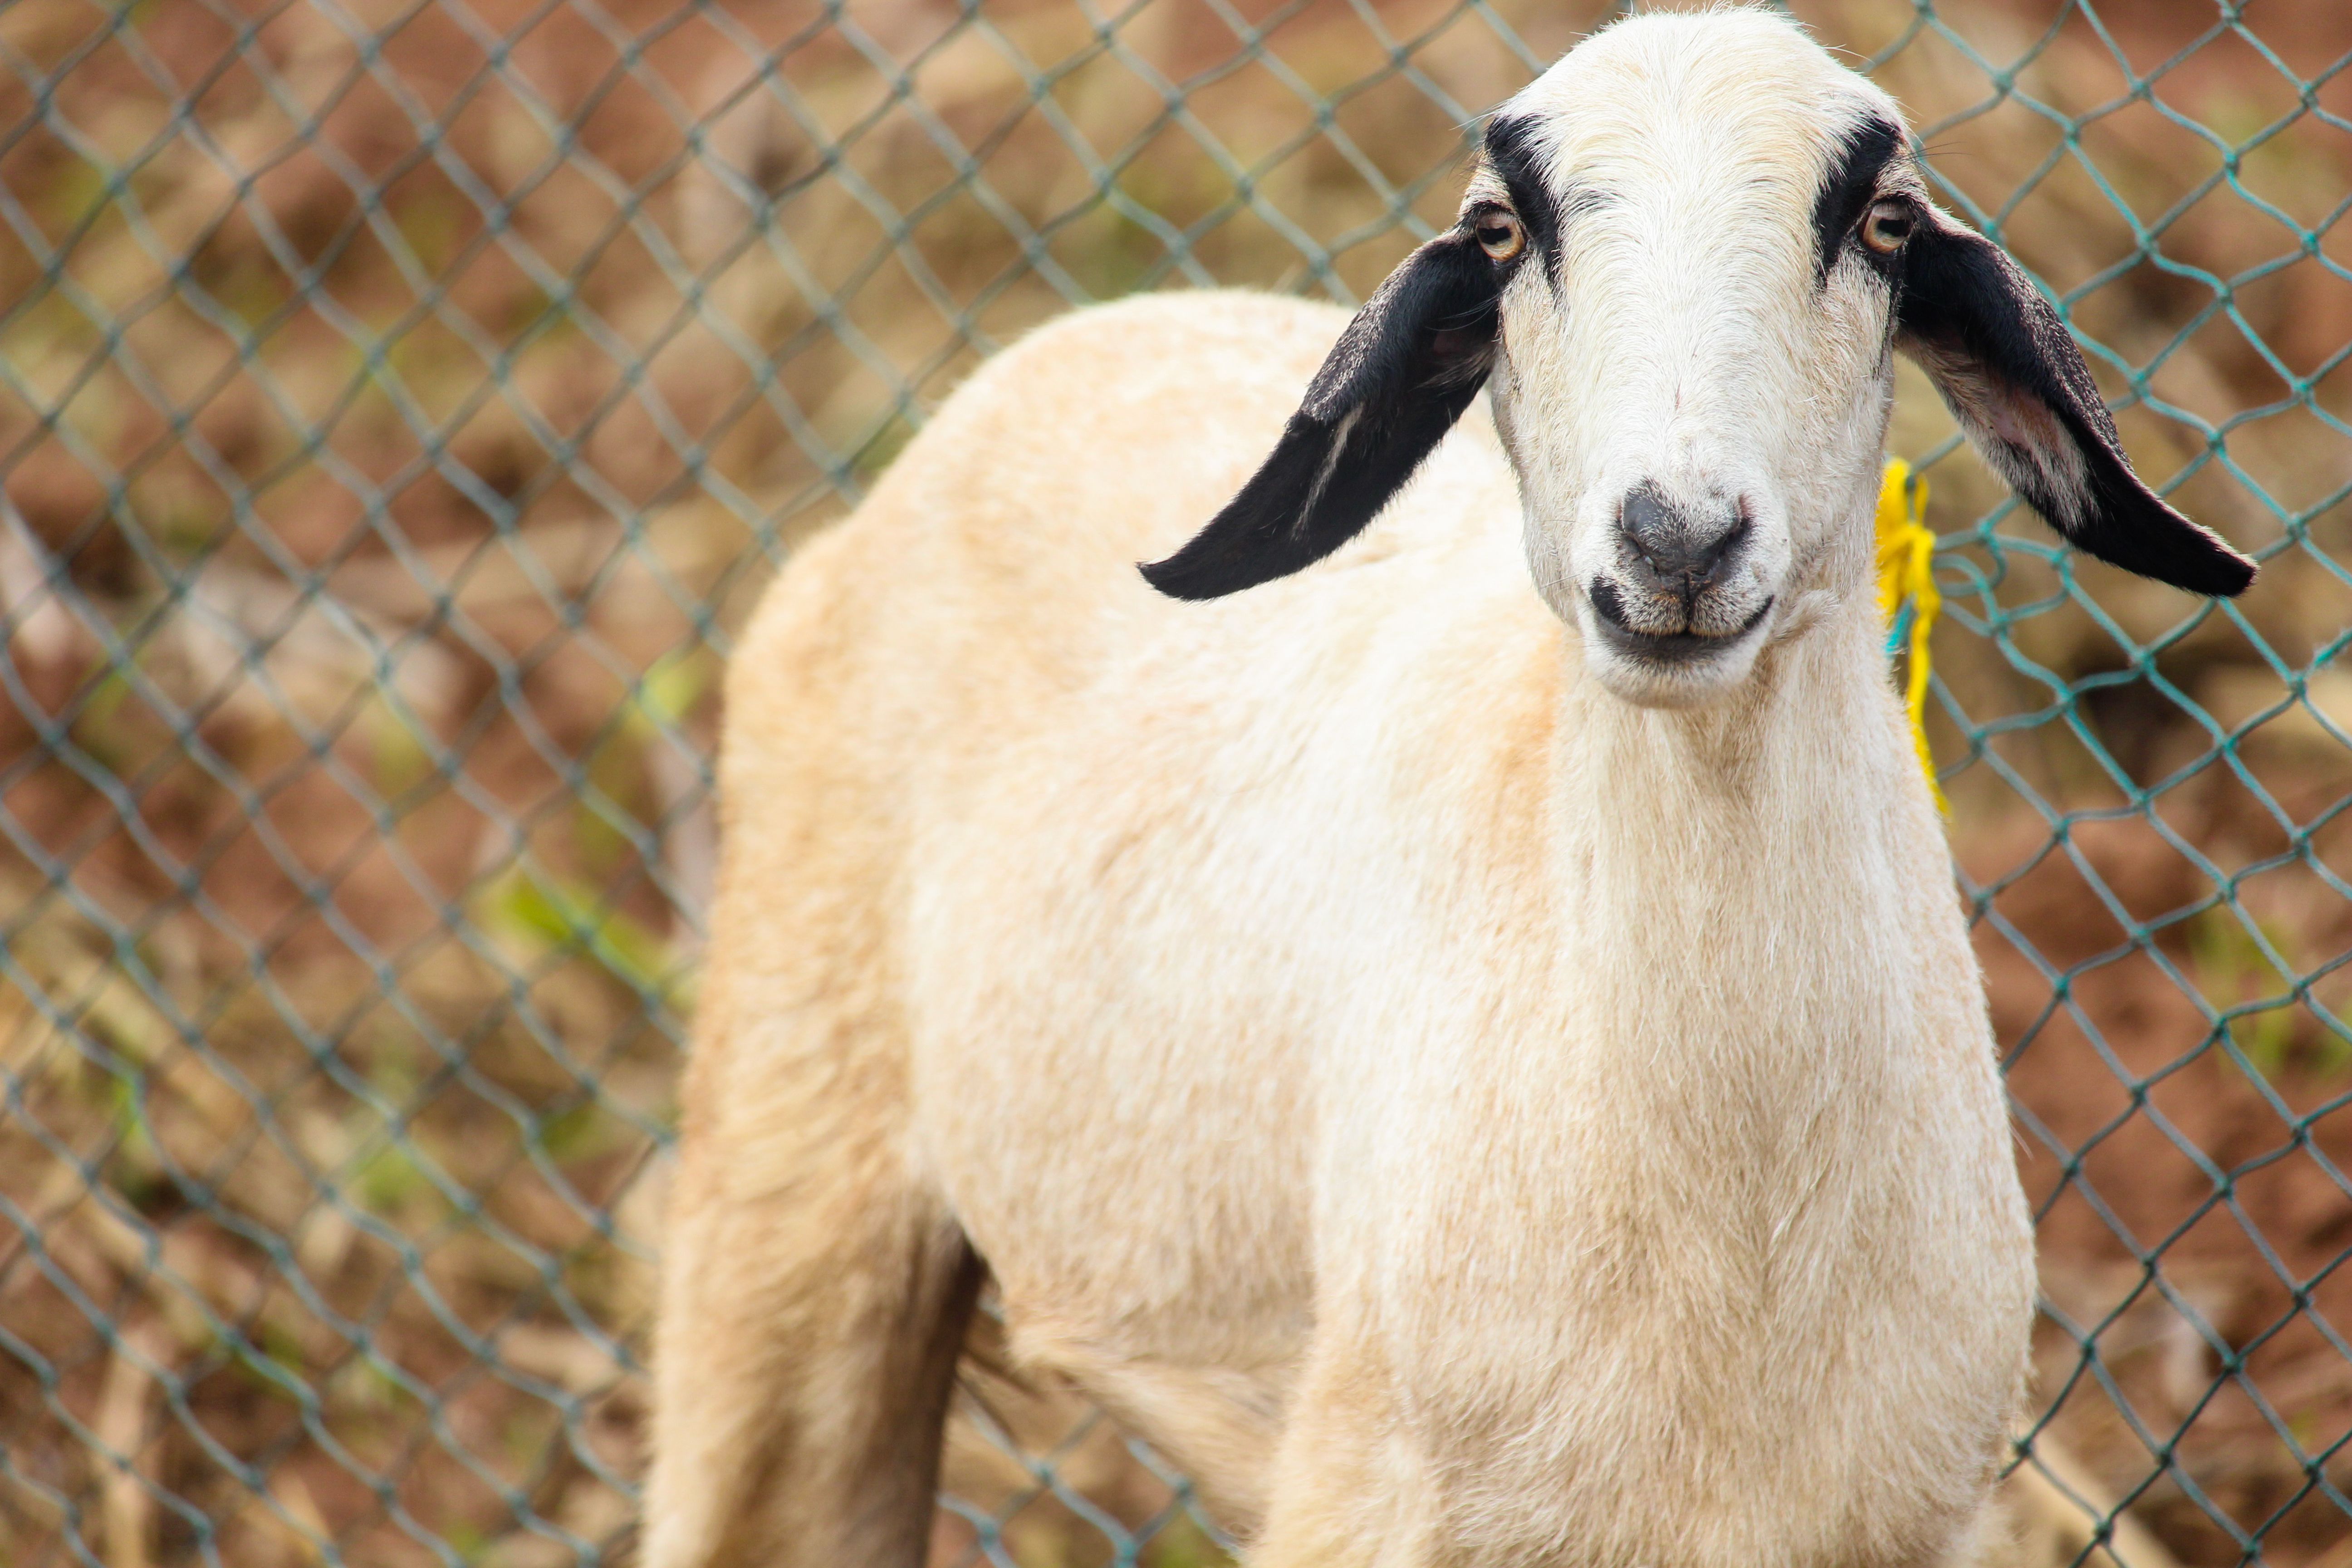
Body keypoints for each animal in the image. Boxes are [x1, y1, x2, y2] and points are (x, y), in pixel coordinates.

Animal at [644, 10, 2254, 1567]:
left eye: (1884, 222)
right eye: (1499, 229)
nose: (1677, 542)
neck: (1738, 1241)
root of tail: (1085, 335)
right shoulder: (1368, 1498)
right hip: (788, 1187)